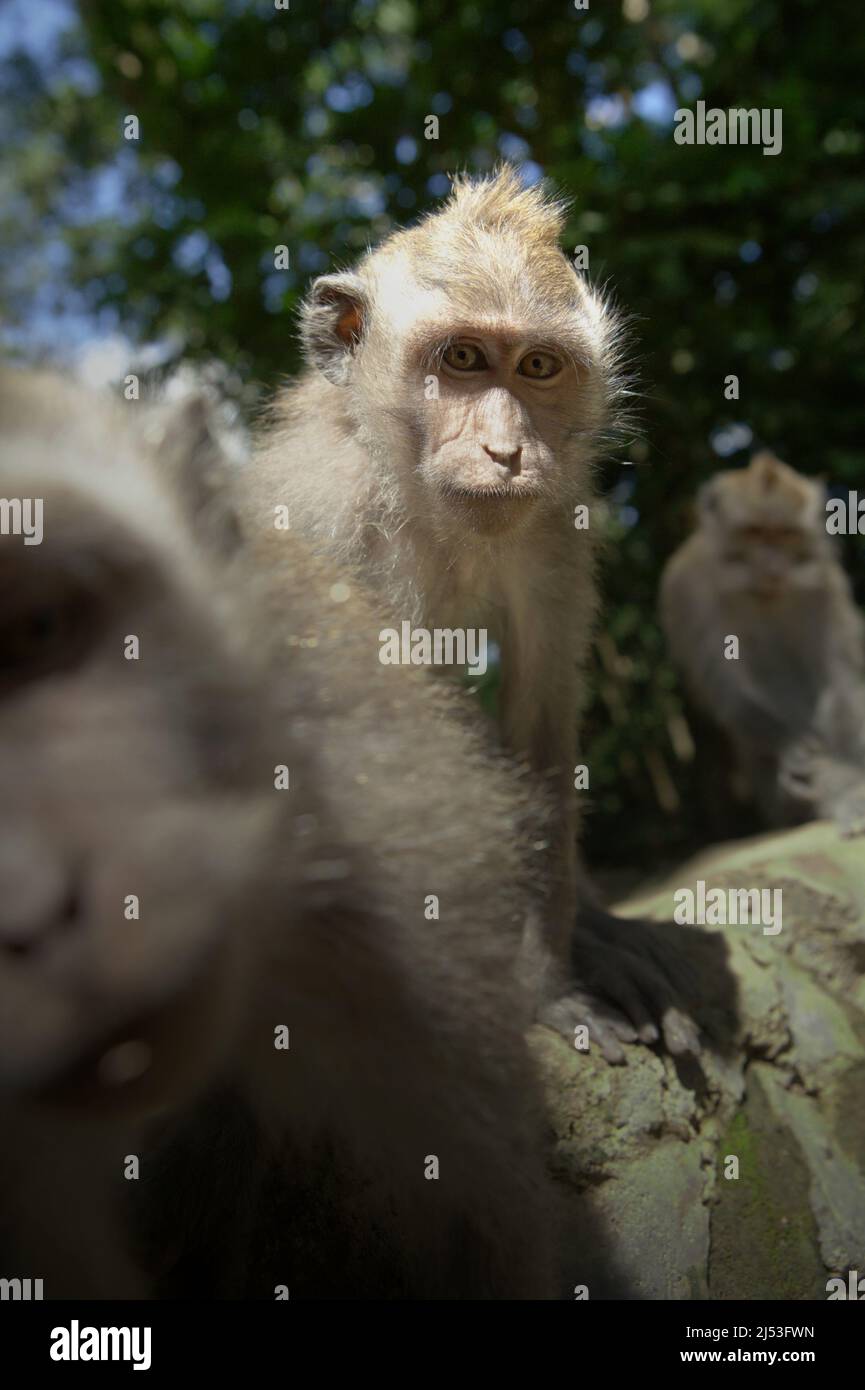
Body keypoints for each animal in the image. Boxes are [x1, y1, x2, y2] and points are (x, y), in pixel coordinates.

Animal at [245, 164, 717, 1058]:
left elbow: (536, 727)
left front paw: (549, 980)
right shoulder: (321, 511)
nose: (506, 451)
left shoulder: (554, 526)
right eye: (461, 358)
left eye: (537, 366)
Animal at [660, 449, 865, 829]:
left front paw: (842, 774)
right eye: (754, 532)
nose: (772, 564)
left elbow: (839, 679)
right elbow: (730, 690)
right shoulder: (687, 588)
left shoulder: (826, 585)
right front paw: (792, 750)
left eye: (784, 533)